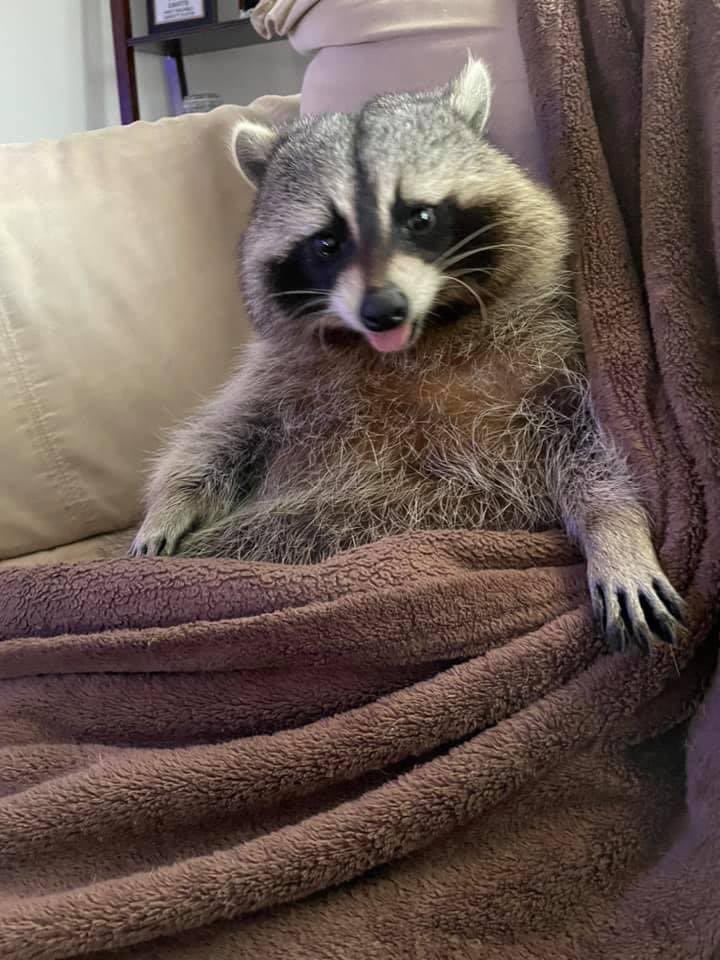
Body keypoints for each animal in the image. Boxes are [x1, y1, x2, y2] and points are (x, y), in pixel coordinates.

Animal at [131, 60, 684, 653]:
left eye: (417, 218)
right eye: (327, 243)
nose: (383, 310)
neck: (420, 340)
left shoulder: (553, 357)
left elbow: (590, 453)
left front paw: (615, 530)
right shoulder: (279, 373)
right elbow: (222, 434)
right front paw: (173, 501)